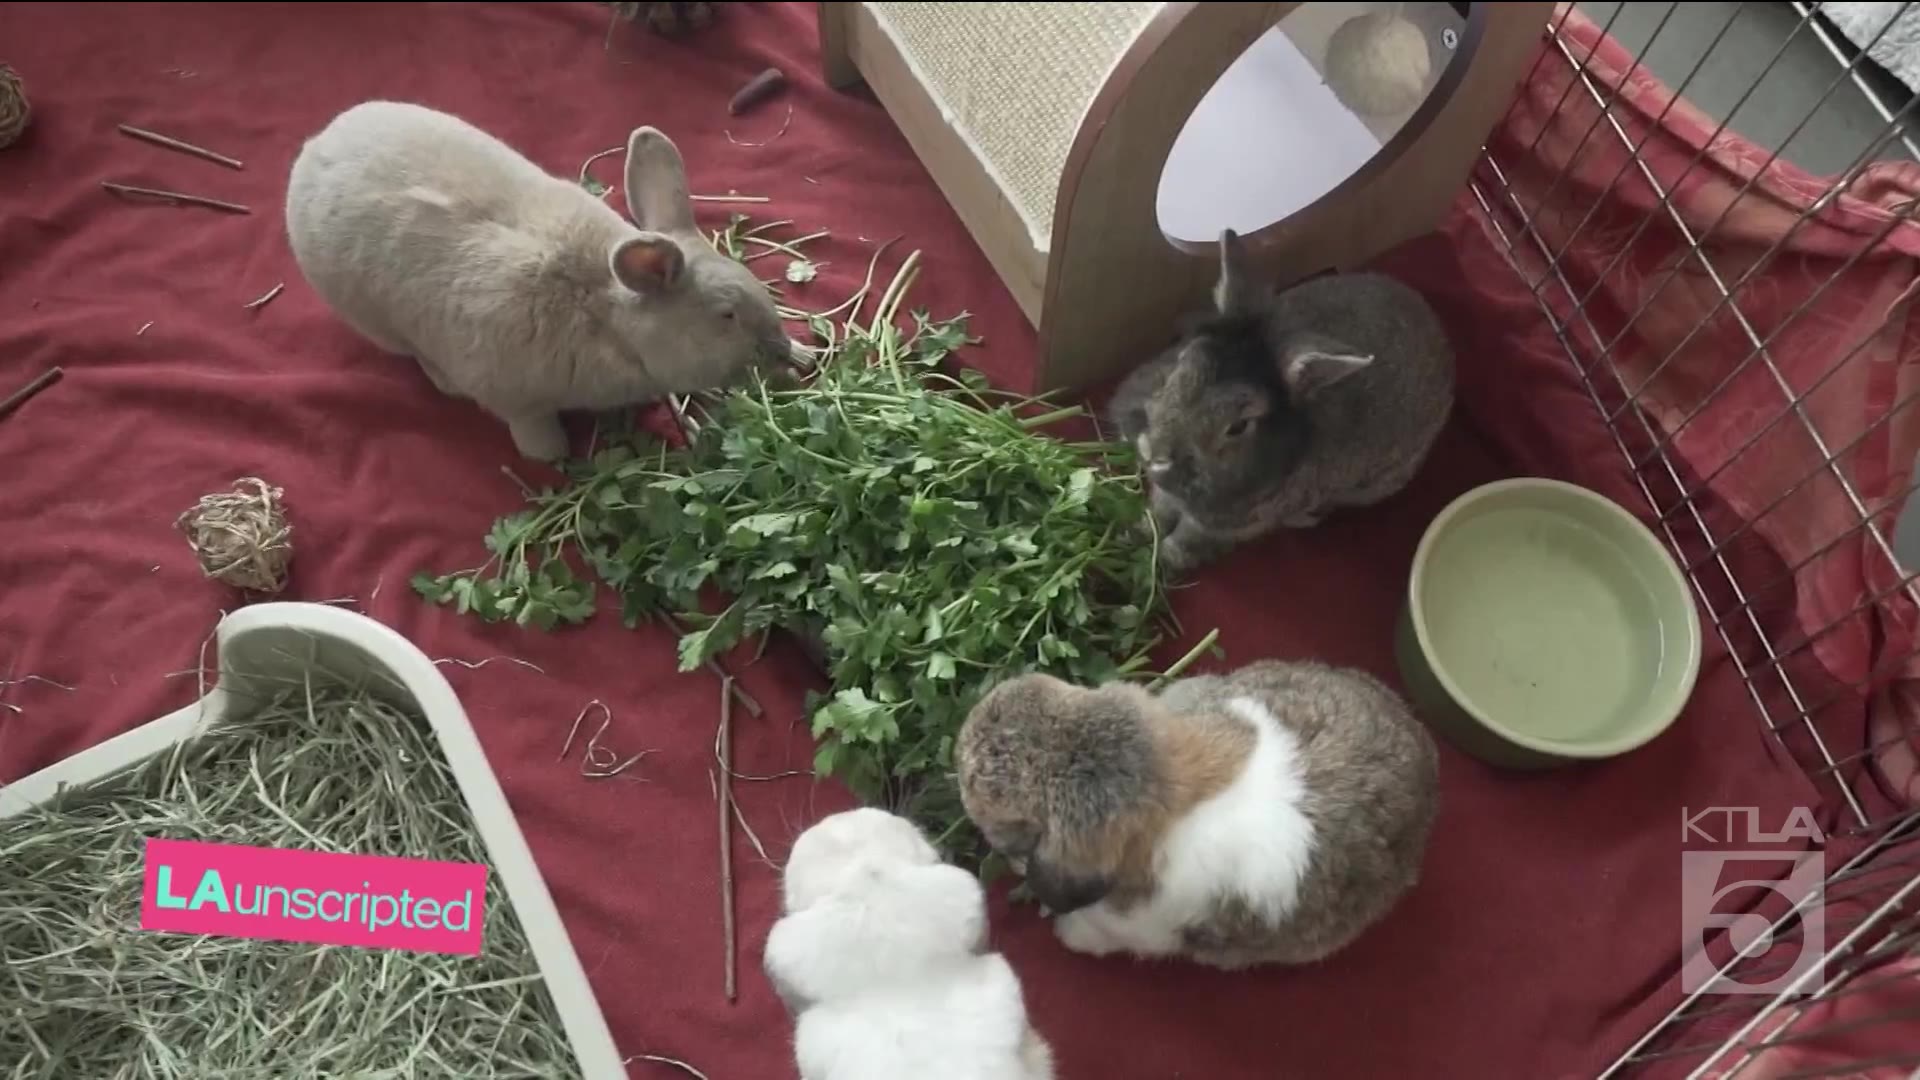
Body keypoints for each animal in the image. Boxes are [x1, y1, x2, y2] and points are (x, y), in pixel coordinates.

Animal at [284, 100, 790, 462]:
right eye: (726, 315)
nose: (783, 349)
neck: (605, 315)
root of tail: (315, 147)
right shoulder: (516, 402)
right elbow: (535, 437)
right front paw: (555, 457)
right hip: (374, 321)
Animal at [1107, 228, 1455, 577]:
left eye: (1238, 426)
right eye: (1182, 363)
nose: (1155, 452)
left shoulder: (1227, 527)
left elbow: (1181, 546)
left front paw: (1147, 568)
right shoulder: (1167, 499)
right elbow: (1155, 517)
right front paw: (1129, 536)